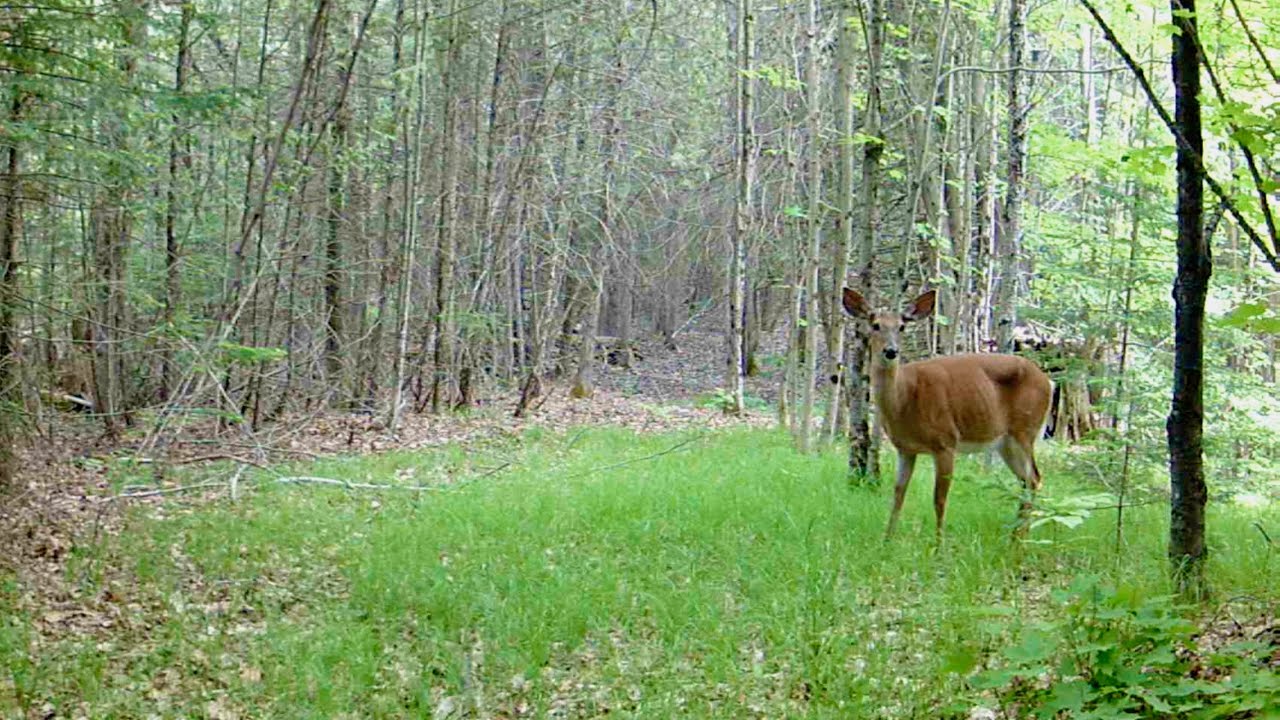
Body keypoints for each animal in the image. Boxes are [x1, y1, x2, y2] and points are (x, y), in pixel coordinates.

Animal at [841, 288, 1053, 541]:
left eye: (902, 326)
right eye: (875, 325)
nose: (891, 351)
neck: (904, 399)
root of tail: (1048, 381)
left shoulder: (946, 441)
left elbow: (939, 499)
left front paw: (938, 544)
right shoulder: (905, 448)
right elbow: (898, 494)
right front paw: (887, 540)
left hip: (1025, 429)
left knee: (1034, 478)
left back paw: (1021, 538)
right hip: (1005, 442)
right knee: (1027, 480)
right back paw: (1016, 536)